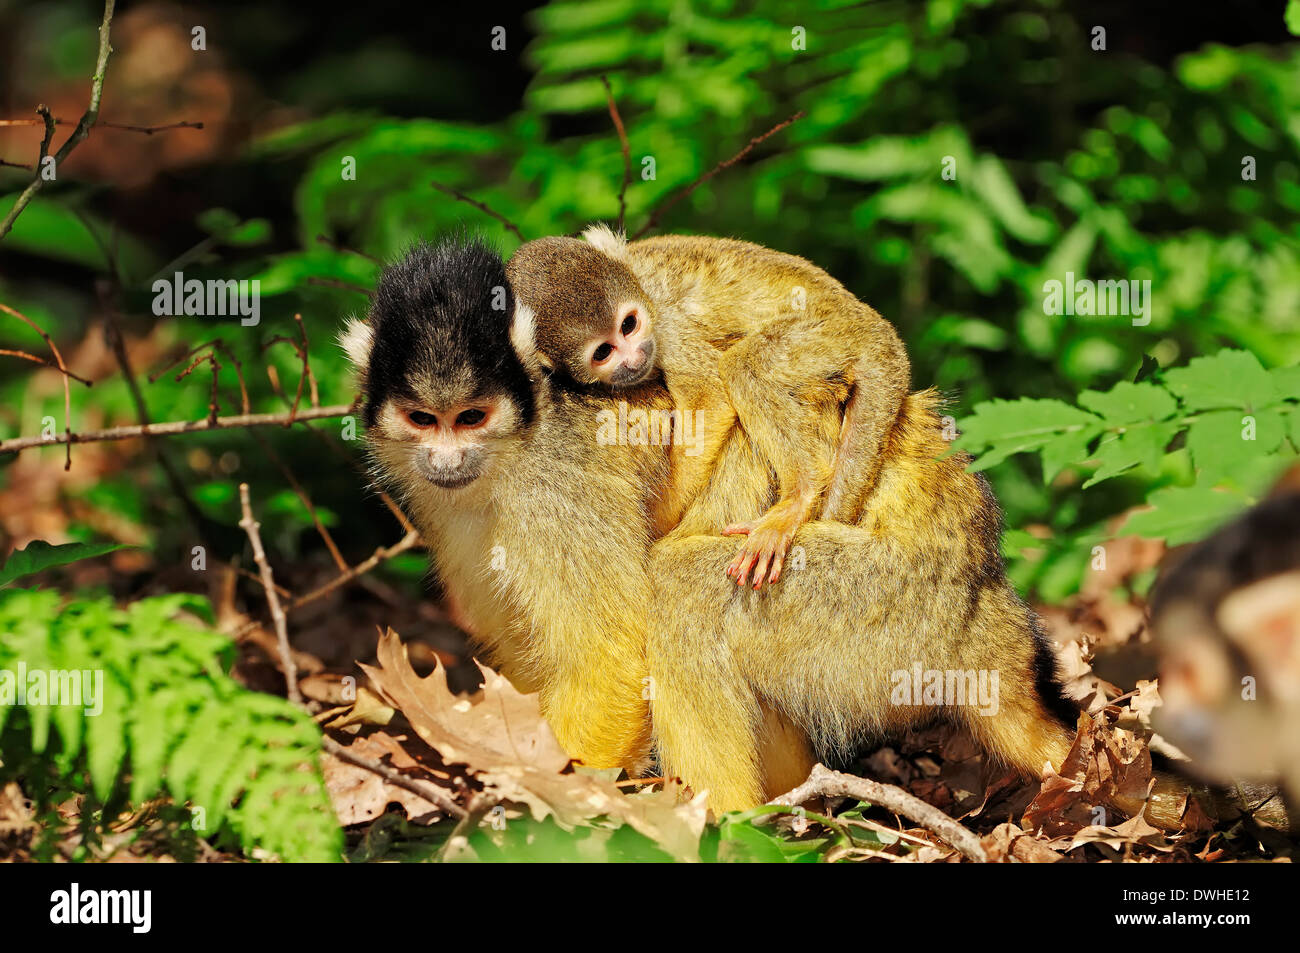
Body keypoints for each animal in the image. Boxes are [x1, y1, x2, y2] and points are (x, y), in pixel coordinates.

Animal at [506, 226, 910, 590]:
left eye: (629, 324)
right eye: (604, 352)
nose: (636, 356)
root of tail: (875, 329)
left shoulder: (665, 323)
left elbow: (709, 395)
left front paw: (661, 518)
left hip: (828, 333)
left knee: (745, 366)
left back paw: (801, 494)